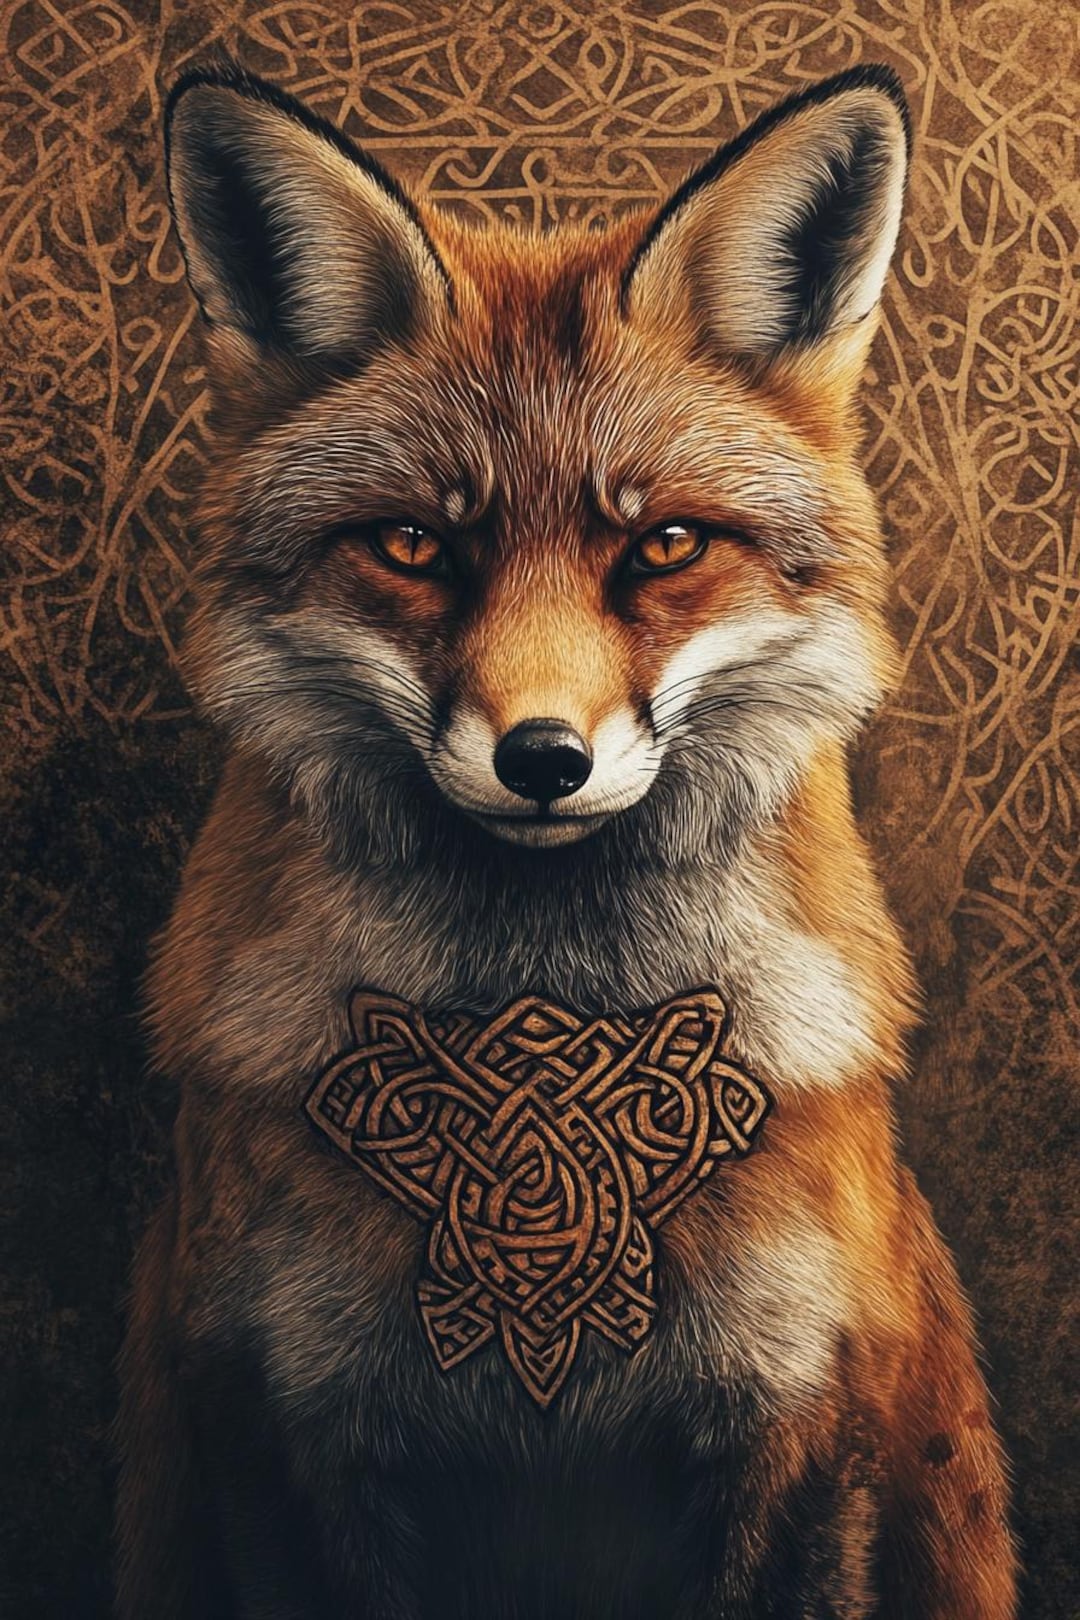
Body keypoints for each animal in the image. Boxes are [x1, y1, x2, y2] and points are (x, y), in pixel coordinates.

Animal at [115, 59, 1018, 1619]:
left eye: (662, 546)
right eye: (417, 546)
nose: (543, 759)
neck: (534, 1015)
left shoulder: (799, 1411)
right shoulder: (284, 1421)